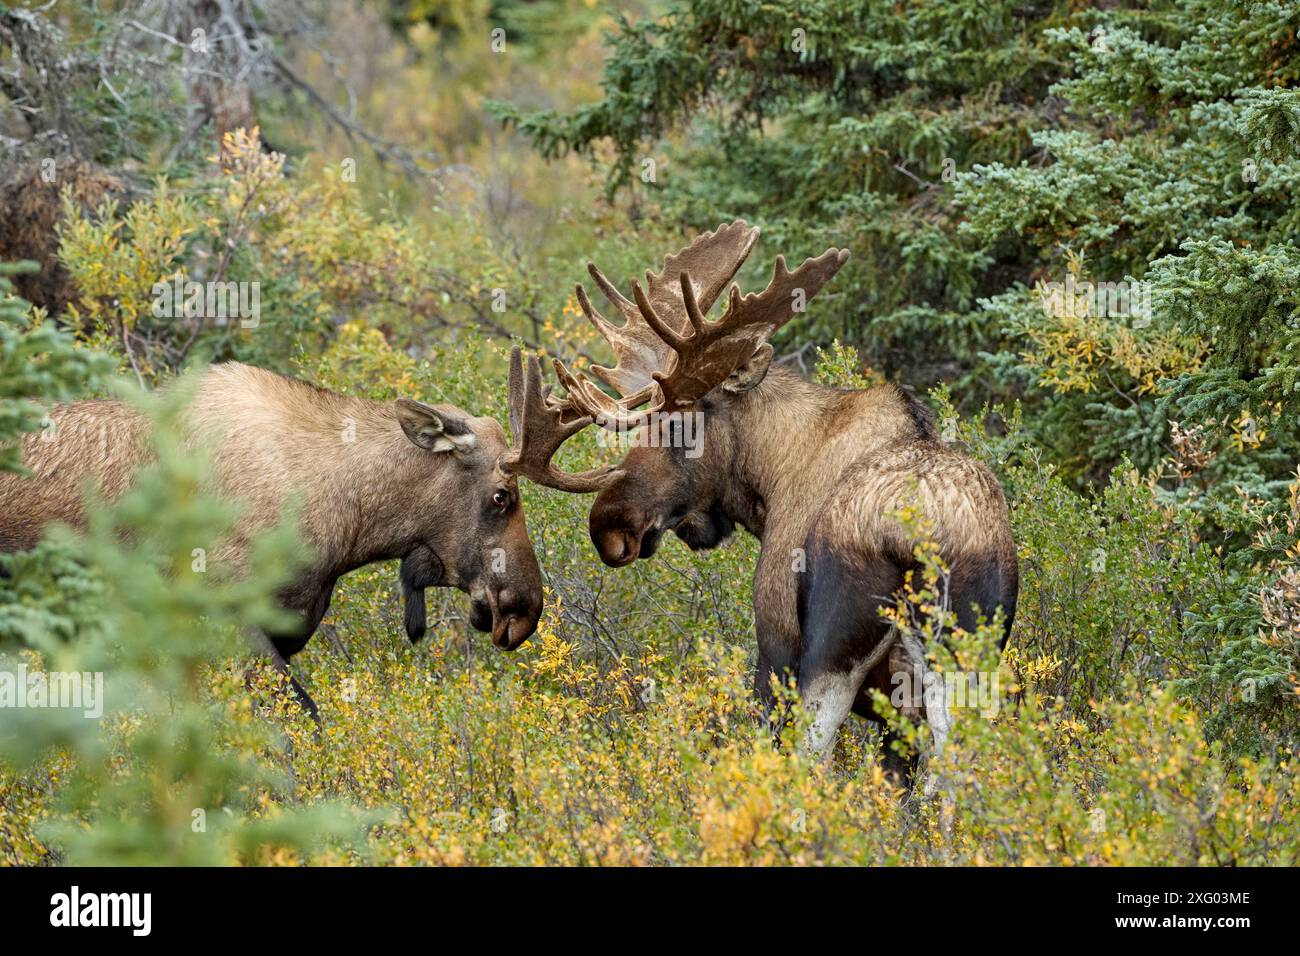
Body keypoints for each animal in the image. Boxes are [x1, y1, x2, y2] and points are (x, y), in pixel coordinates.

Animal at [549, 220, 1019, 774]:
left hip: (832, 651)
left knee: (810, 756)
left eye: (680, 426)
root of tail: (916, 535)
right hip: (962, 657)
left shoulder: (775, 639)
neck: (771, 480)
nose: (609, 523)